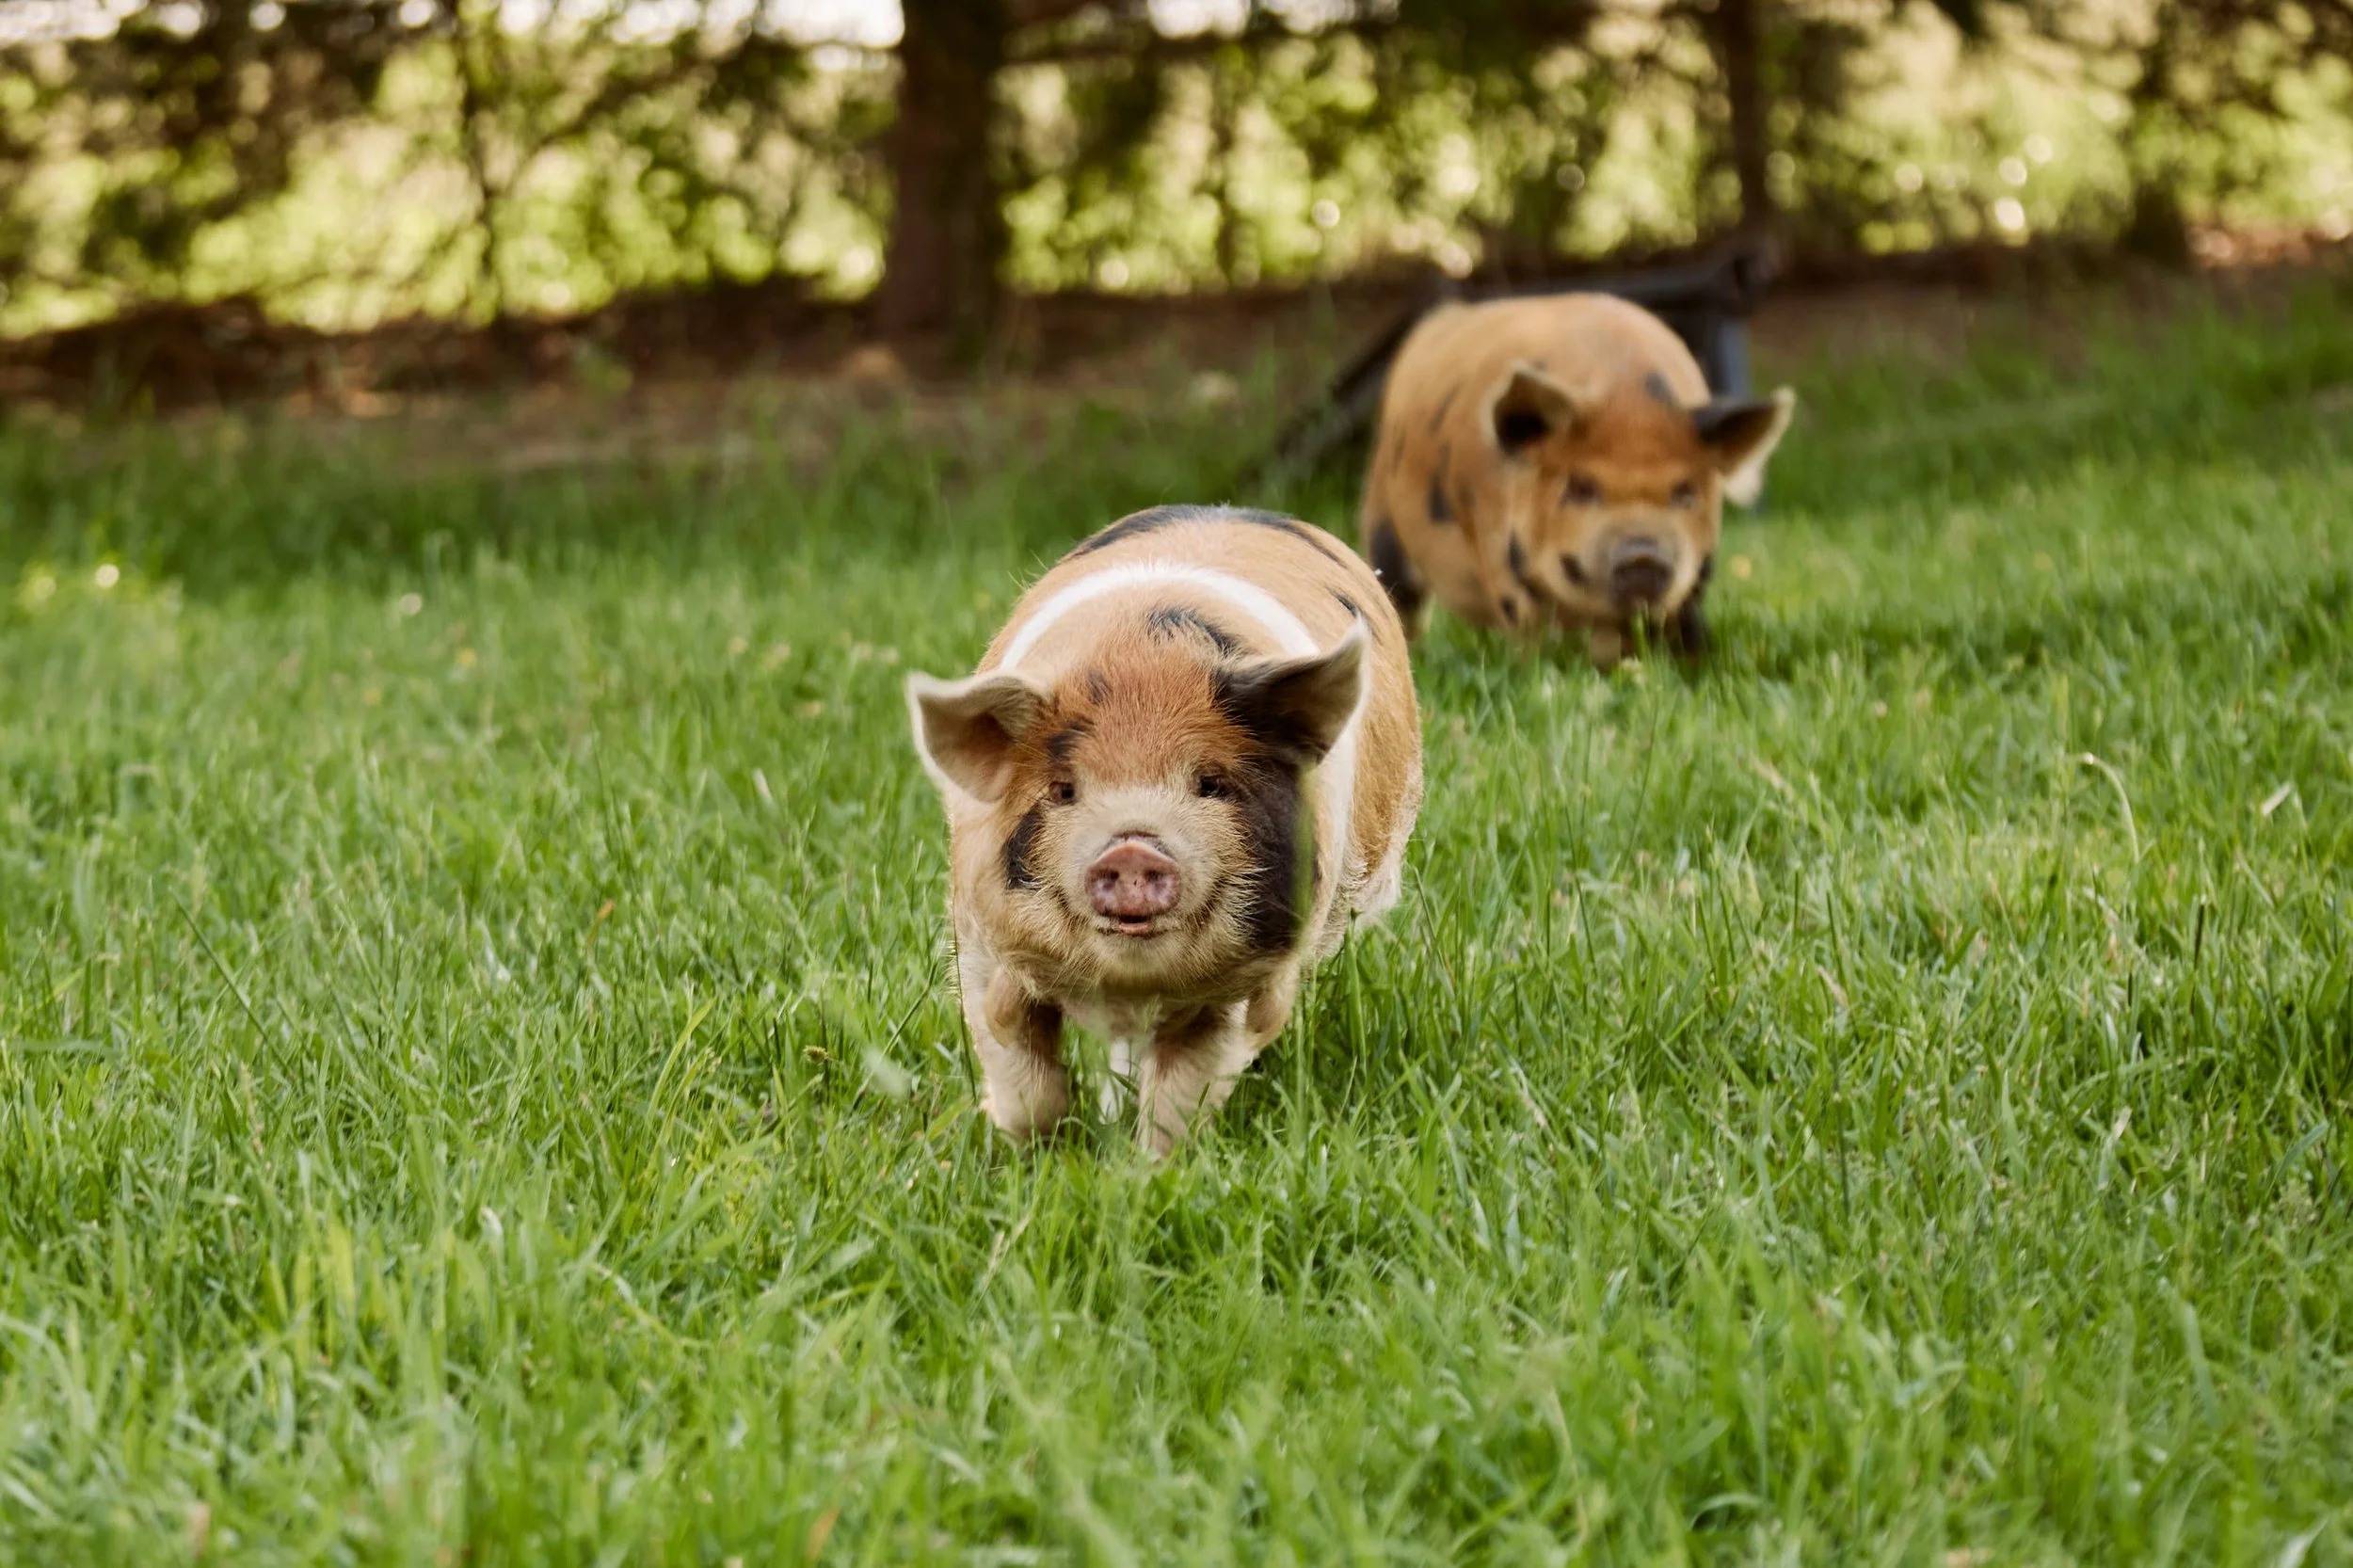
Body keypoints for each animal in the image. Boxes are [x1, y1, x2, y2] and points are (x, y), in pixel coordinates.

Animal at [905, 505, 1423, 1156]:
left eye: (1210, 783)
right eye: (1064, 789)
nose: (1132, 847)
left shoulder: (1246, 984)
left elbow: (1183, 1088)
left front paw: (1151, 1167)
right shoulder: (978, 943)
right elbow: (1018, 1061)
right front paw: (1033, 1153)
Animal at [1356, 293, 1796, 668]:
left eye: (1685, 493)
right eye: (1581, 487)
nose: (1642, 554)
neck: (1629, 398)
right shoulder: (1501, 562)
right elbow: (1535, 632)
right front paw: (1545, 669)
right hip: (1382, 520)